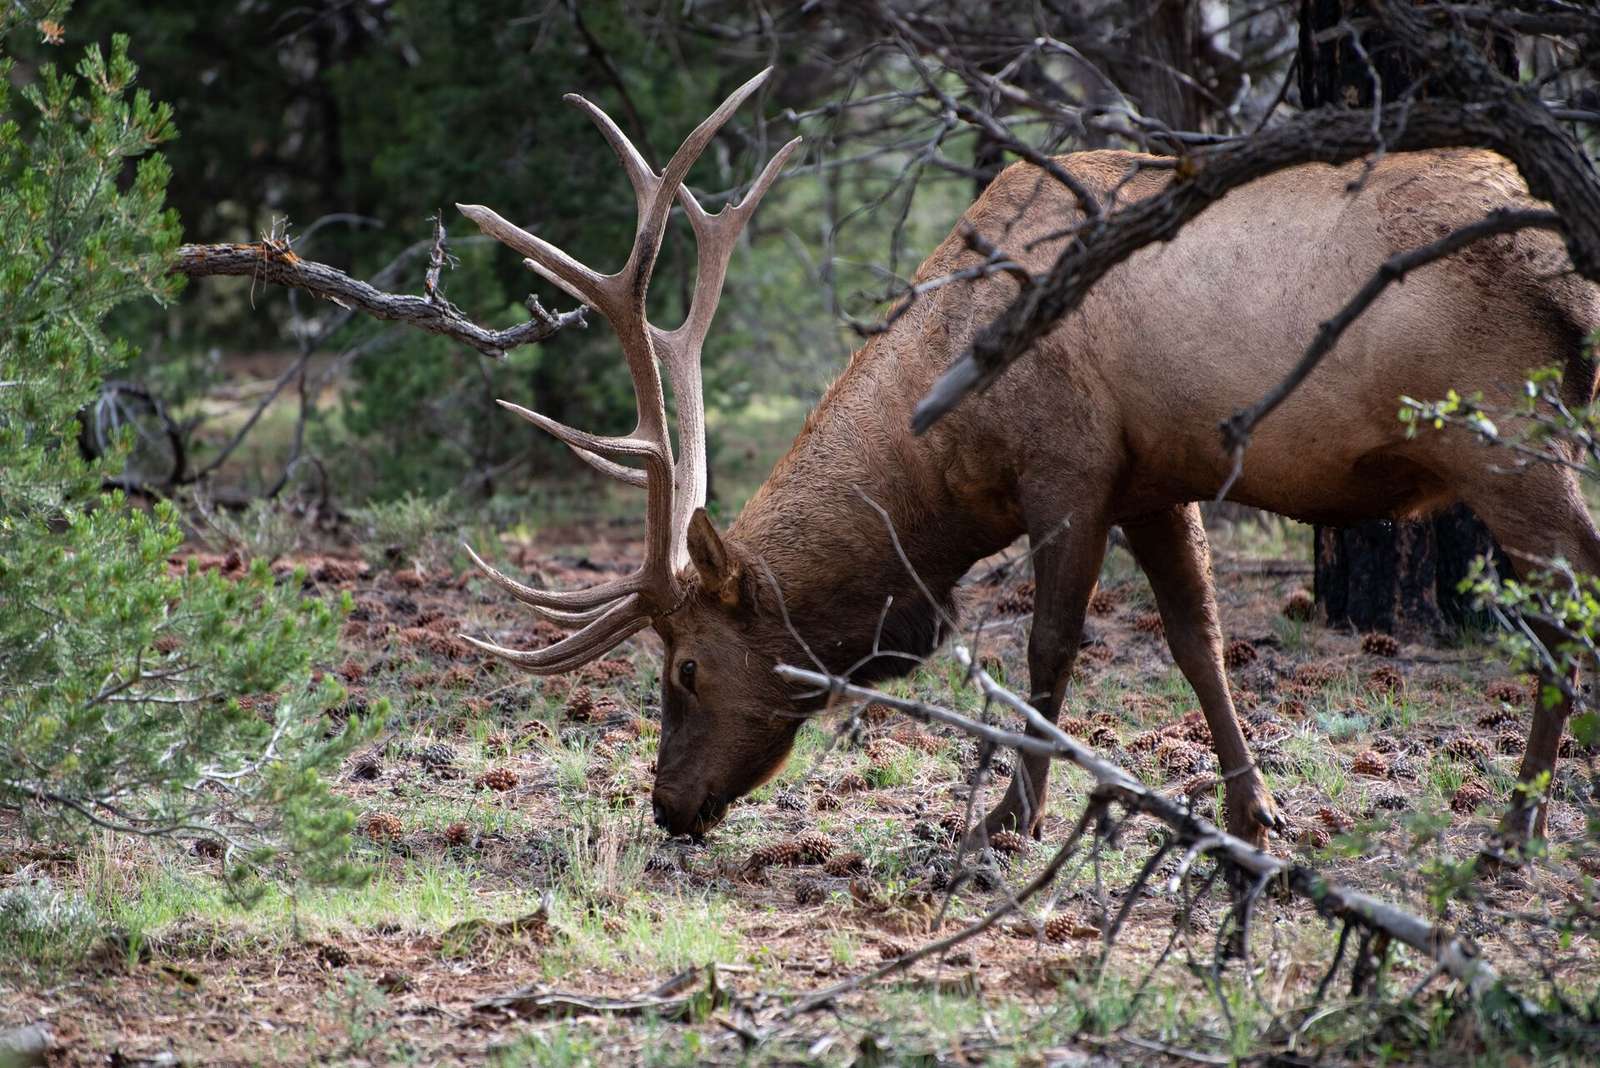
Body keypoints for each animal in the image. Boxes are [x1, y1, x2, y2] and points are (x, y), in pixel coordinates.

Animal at [457, 69, 1600, 853]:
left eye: (687, 668)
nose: (667, 804)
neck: (944, 465)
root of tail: (1567, 268)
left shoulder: (1070, 468)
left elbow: (1051, 647)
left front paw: (1010, 815)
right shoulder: (1158, 478)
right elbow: (1198, 640)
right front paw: (1254, 809)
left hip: (1504, 431)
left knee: (1566, 600)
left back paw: (1519, 823)